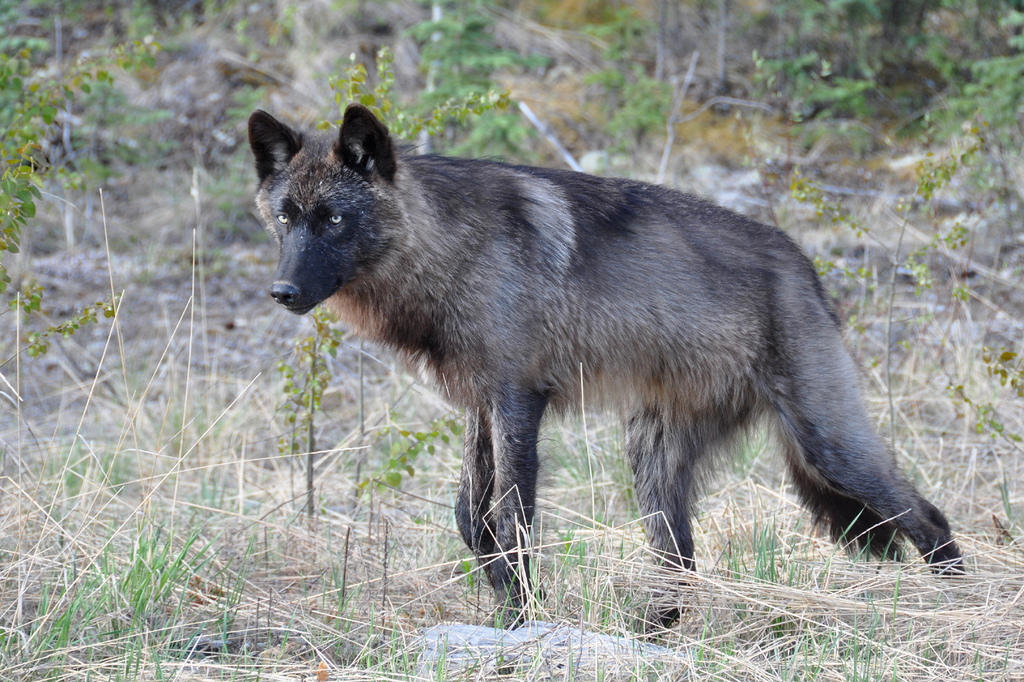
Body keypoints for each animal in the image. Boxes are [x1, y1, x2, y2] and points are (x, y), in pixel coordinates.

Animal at [248, 104, 963, 626]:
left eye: (333, 219)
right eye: (286, 218)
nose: (282, 292)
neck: (452, 250)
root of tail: (805, 267)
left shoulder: (518, 403)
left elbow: (510, 519)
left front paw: (524, 618)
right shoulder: (481, 405)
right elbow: (471, 519)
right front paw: (507, 599)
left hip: (829, 447)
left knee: (928, 516)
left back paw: (959, 604)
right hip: (653, 467)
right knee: (681, 563)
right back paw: (654, 635)